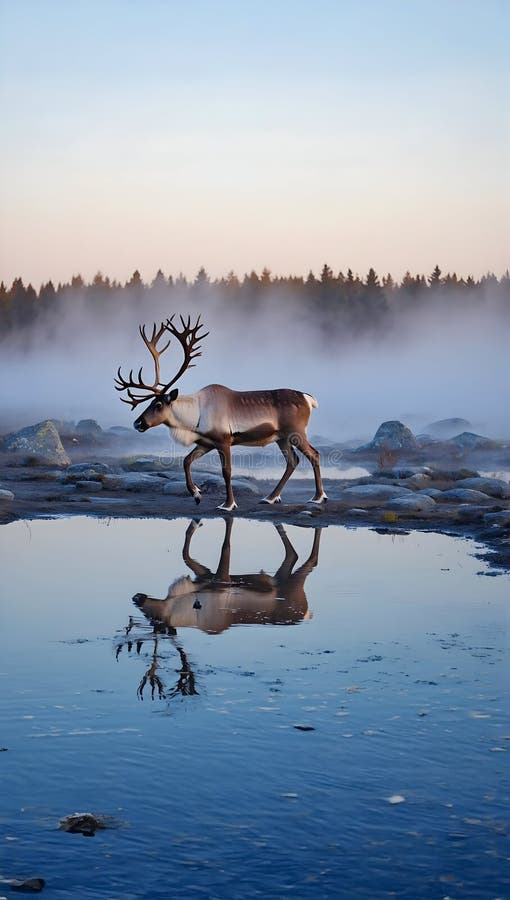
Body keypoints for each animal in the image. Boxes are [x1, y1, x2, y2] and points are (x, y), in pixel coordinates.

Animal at [115, 315, 327, 511]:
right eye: (150, 402)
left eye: (158, 404)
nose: (137, 423)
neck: (195, 415)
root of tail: (308, 398)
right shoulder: (206, 443)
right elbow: (186, 461)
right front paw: (196, 494)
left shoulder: (224, 441)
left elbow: (227, 472)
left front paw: (228, 504)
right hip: (281, 437)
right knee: (292, 461)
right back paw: (270, 497)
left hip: (296, 433)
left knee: (314, 455)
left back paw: (318, 497)